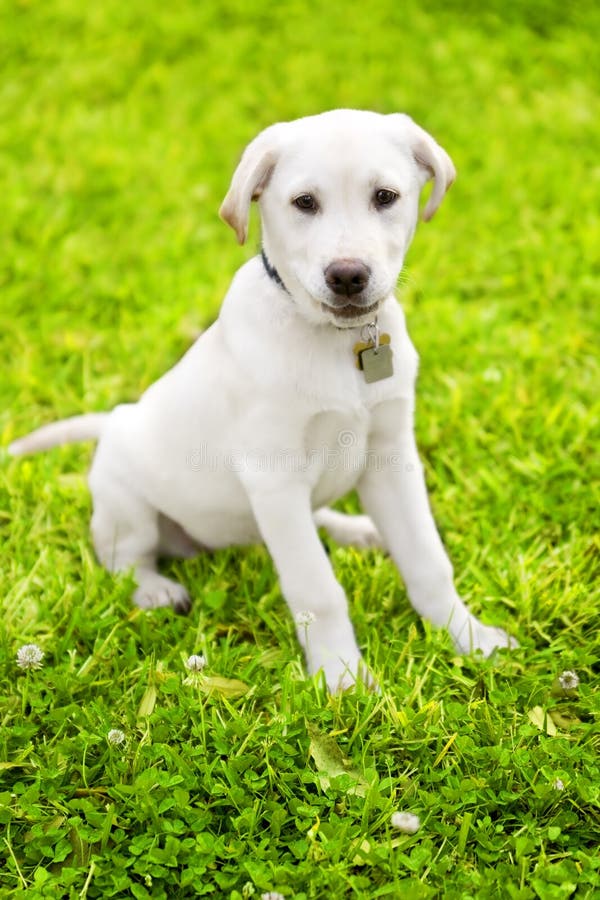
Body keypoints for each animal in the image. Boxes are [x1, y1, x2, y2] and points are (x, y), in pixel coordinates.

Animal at [9, 109, 516, 692]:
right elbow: (318, 589)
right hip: (125, 502)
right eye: (304, 202)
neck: (338, 343)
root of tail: (117, 419)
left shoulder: (391, 457)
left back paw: (357, 530)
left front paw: (470, 638)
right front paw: (342, 677)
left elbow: (429, 562)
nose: (348, 276)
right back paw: (155, 588)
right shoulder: (274, 476)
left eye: (386, 196)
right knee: (124, 558)